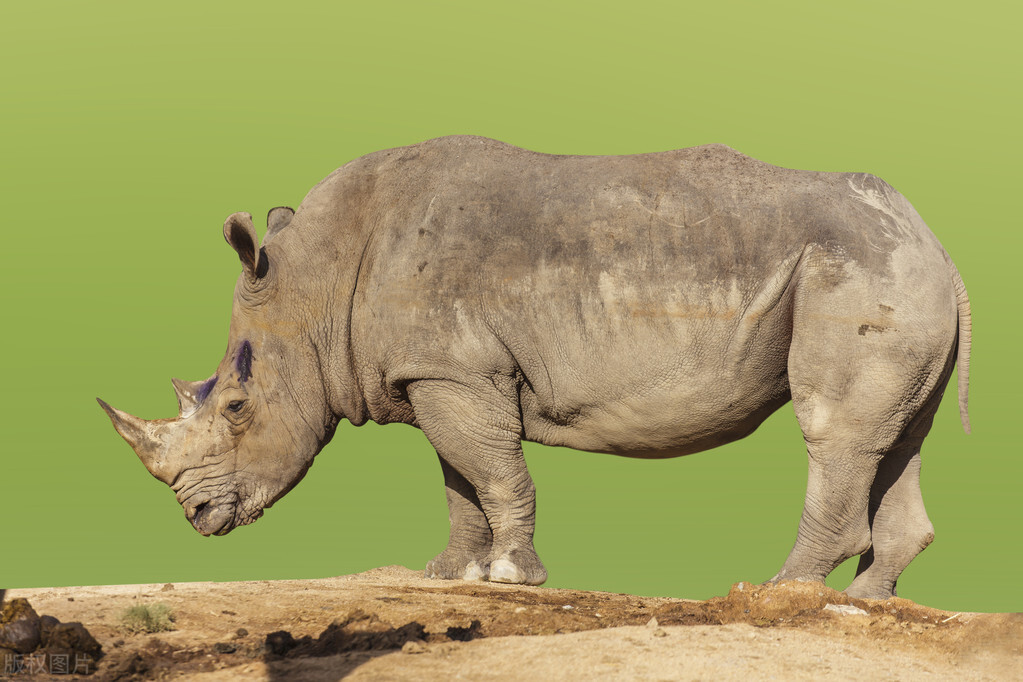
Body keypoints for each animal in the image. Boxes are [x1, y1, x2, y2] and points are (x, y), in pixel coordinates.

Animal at [99, 136, 970, 599]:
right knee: (897, 439)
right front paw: (447, 575)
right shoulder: (434, 375)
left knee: (833, 434)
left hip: (857, 272)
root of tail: (936, 245)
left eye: (236, 408)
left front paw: (512, 576)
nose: (196, 517)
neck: (315, 287)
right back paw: (862, 603)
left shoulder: (455, 370)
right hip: (891, 277)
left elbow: (494, 472)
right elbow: (460, 481)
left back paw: (778, 594)